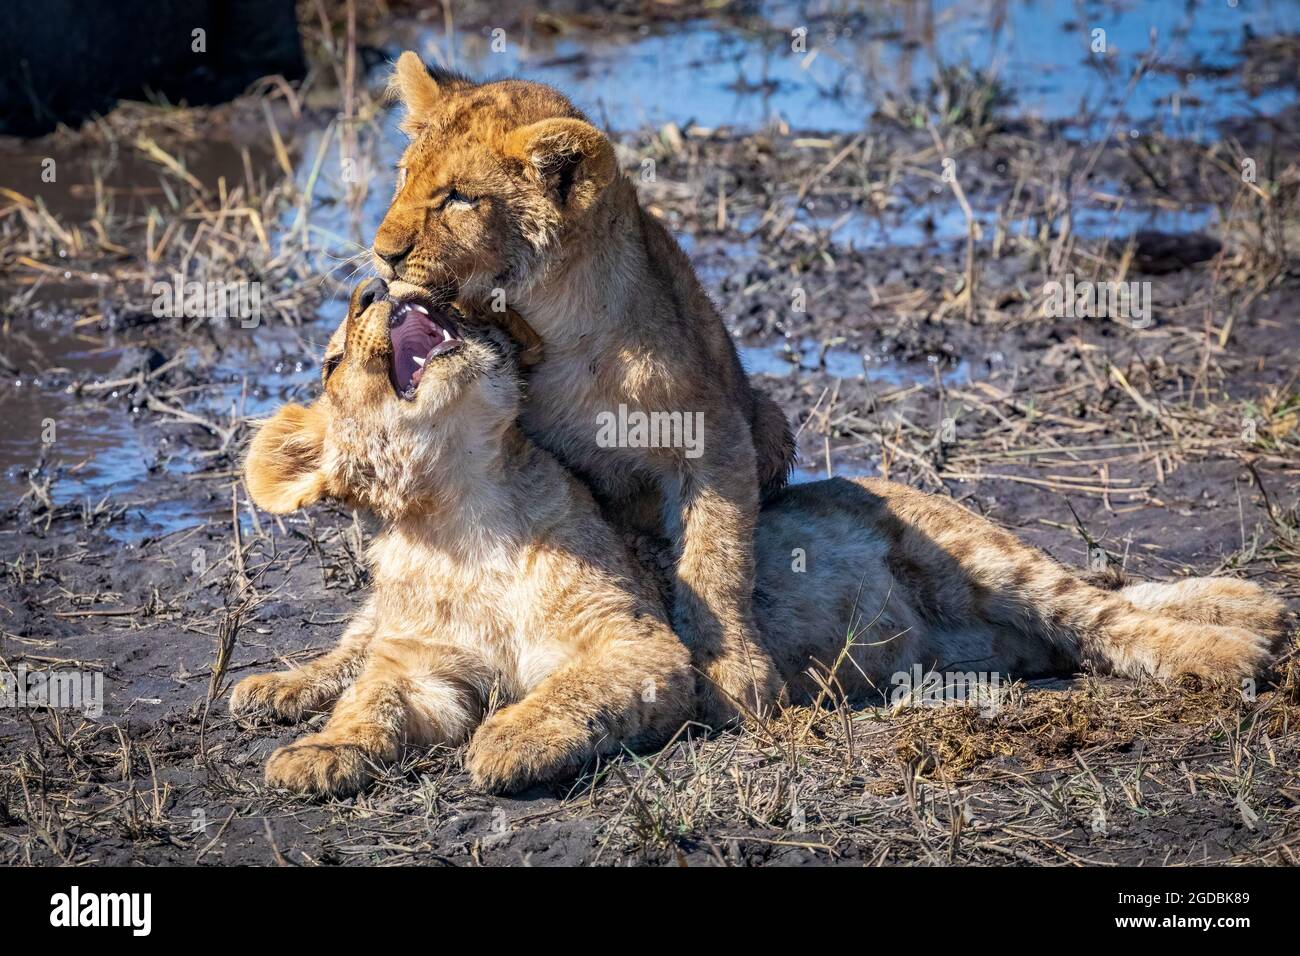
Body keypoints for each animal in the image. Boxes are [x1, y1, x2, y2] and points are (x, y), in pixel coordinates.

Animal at [231, 280, 1284, 796]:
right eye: (334, 358)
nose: (373, 293)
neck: (461, 512)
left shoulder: (634, 643)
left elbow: (564, 692)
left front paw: (509, 742)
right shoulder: (419, 664)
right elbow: (370, 699)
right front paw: (314, 756)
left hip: (989, 562)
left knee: (1108, 611)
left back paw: (1231, 644)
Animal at [369, 53, 794, 724]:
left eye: (460, 198)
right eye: (404, 177)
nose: (383, 254)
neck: (555, 320)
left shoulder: (713, 434)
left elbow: (716, 557)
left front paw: (737, 673)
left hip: (769, 418)